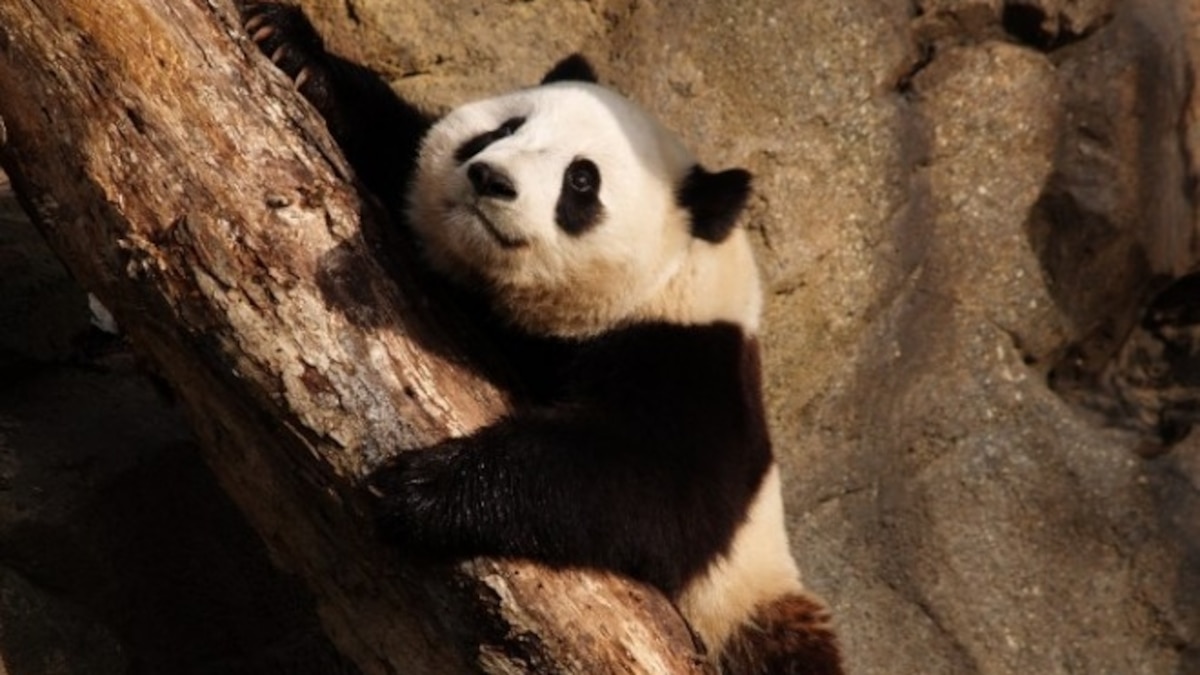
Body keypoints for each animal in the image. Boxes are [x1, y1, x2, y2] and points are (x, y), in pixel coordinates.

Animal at [242, 4, 842, 673]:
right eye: (503, 129)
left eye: (581, 180)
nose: (490, 179)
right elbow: (399, 141)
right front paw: (290, 45)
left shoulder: (693, 369)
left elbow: (649, 489)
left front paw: (429, 489)